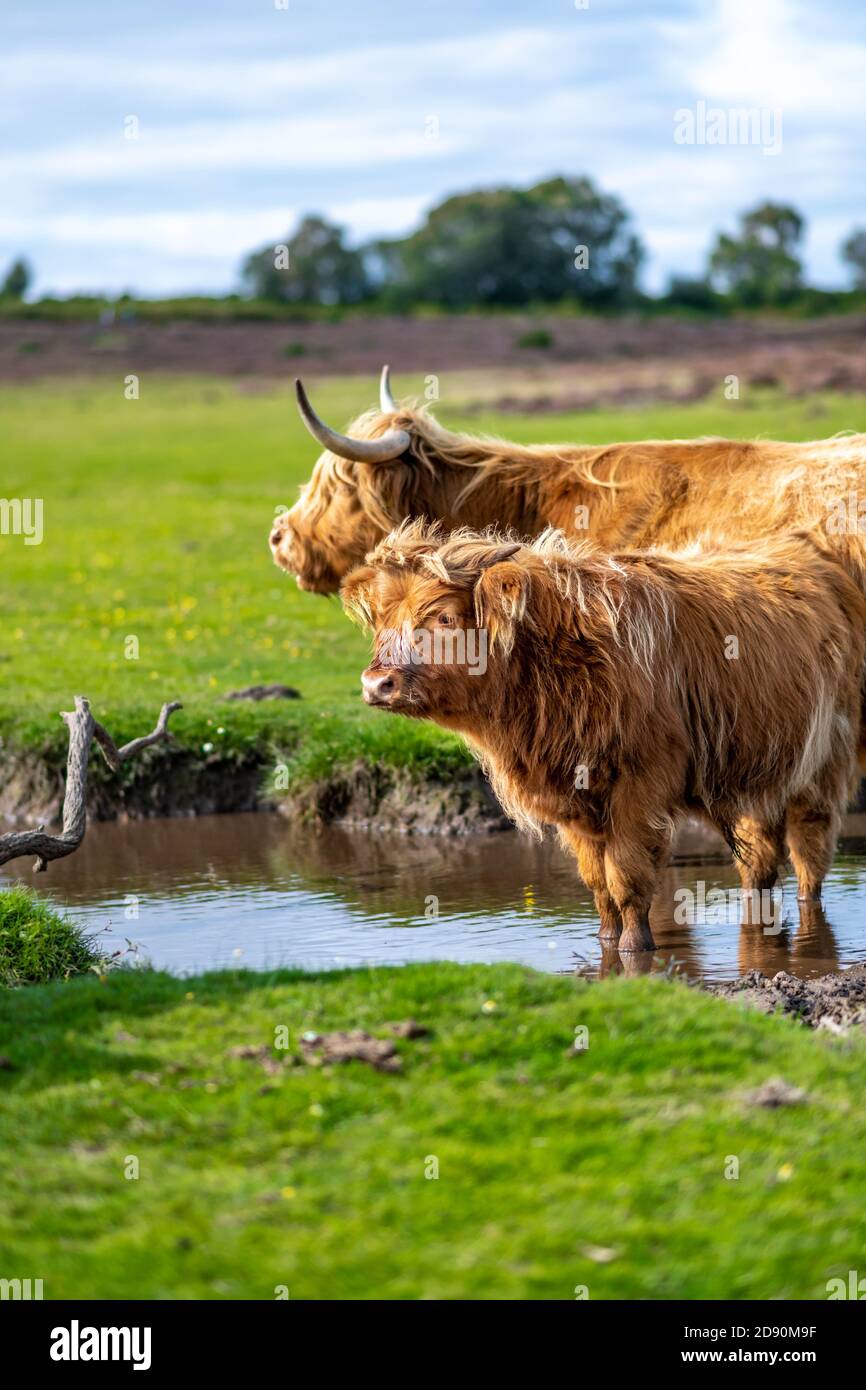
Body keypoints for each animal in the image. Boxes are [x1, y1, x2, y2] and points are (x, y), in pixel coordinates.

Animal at [341, 521, 866, 953]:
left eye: (445, 618)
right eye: (383, 620)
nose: (376, 683)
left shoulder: (640, 785)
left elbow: (627, 879)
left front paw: (634, 949)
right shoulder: (575, 798)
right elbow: (597, 883)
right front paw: (606, 940)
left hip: (823, 762)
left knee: (810, 853)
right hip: (758, 769)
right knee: (759, 861)